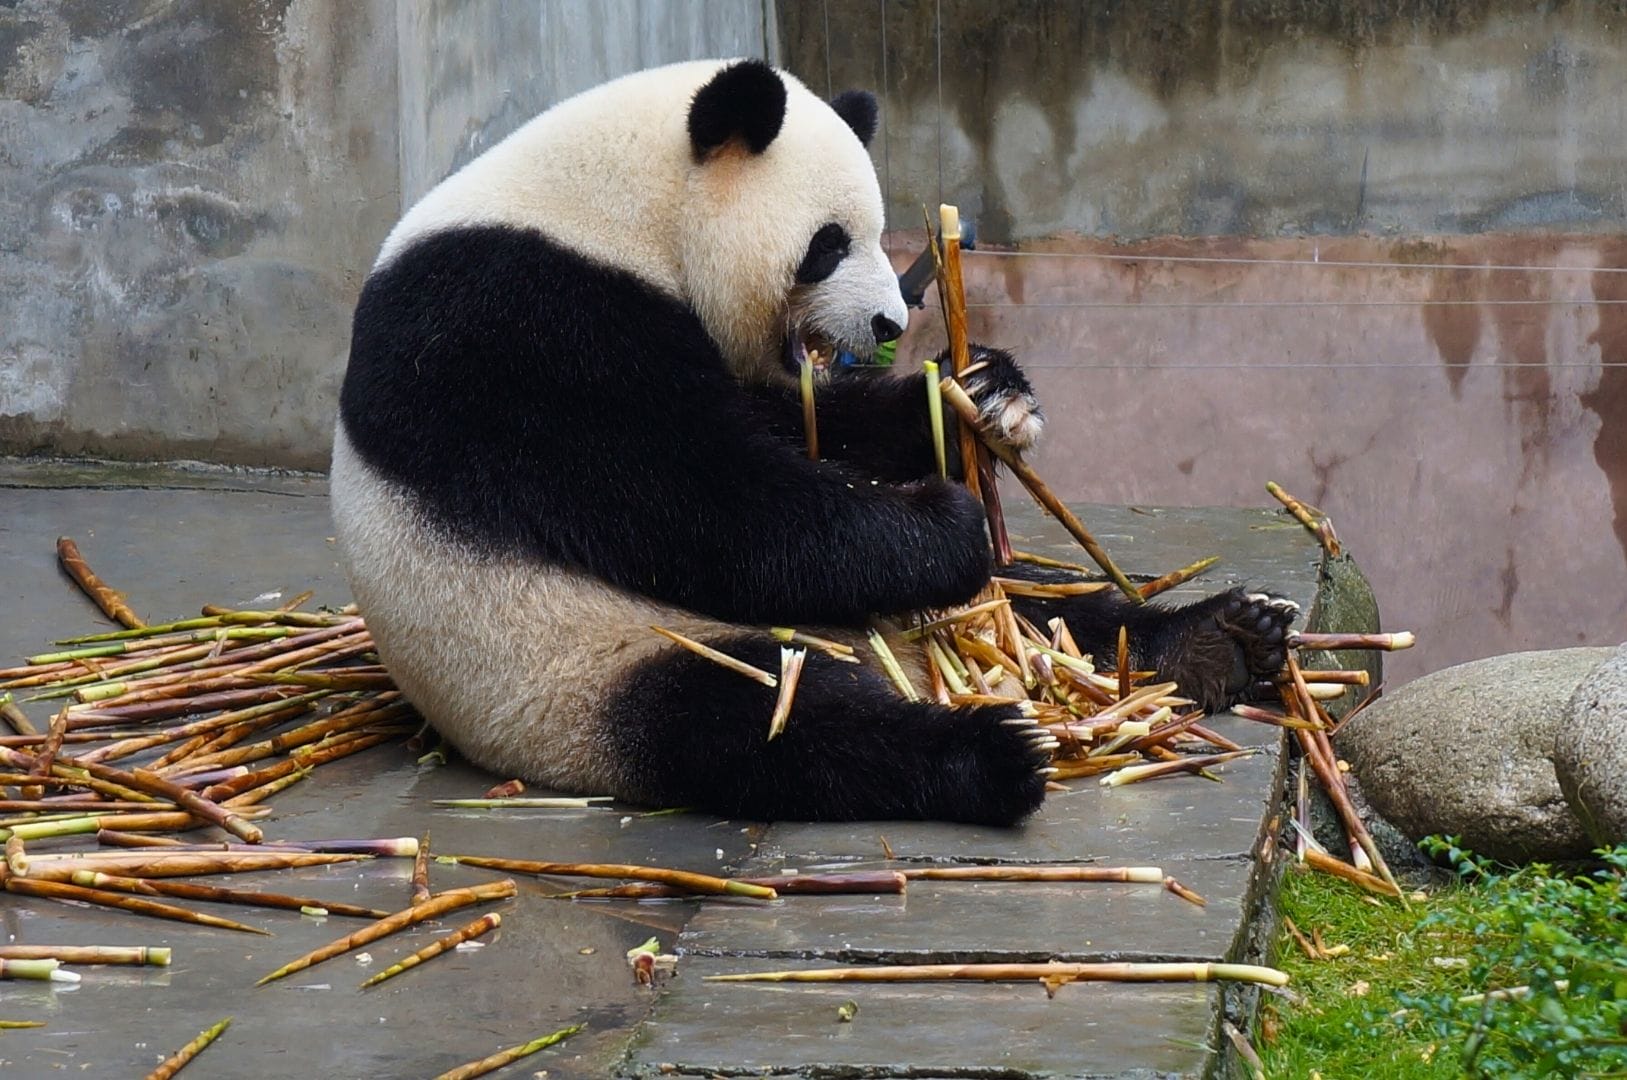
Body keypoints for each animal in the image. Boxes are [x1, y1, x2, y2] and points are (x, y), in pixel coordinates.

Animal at [331, 58, 1296, 827]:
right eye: (828, 244)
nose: (890, 322)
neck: (614, 208)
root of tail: (900, 658)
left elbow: (794, 422)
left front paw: (987, 394)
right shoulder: (515, 321)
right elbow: (689, 497)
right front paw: (941, 522)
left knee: (1047, 605)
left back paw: (1220, 639)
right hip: (578, 667)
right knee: (757, 717)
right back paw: (988, 754)